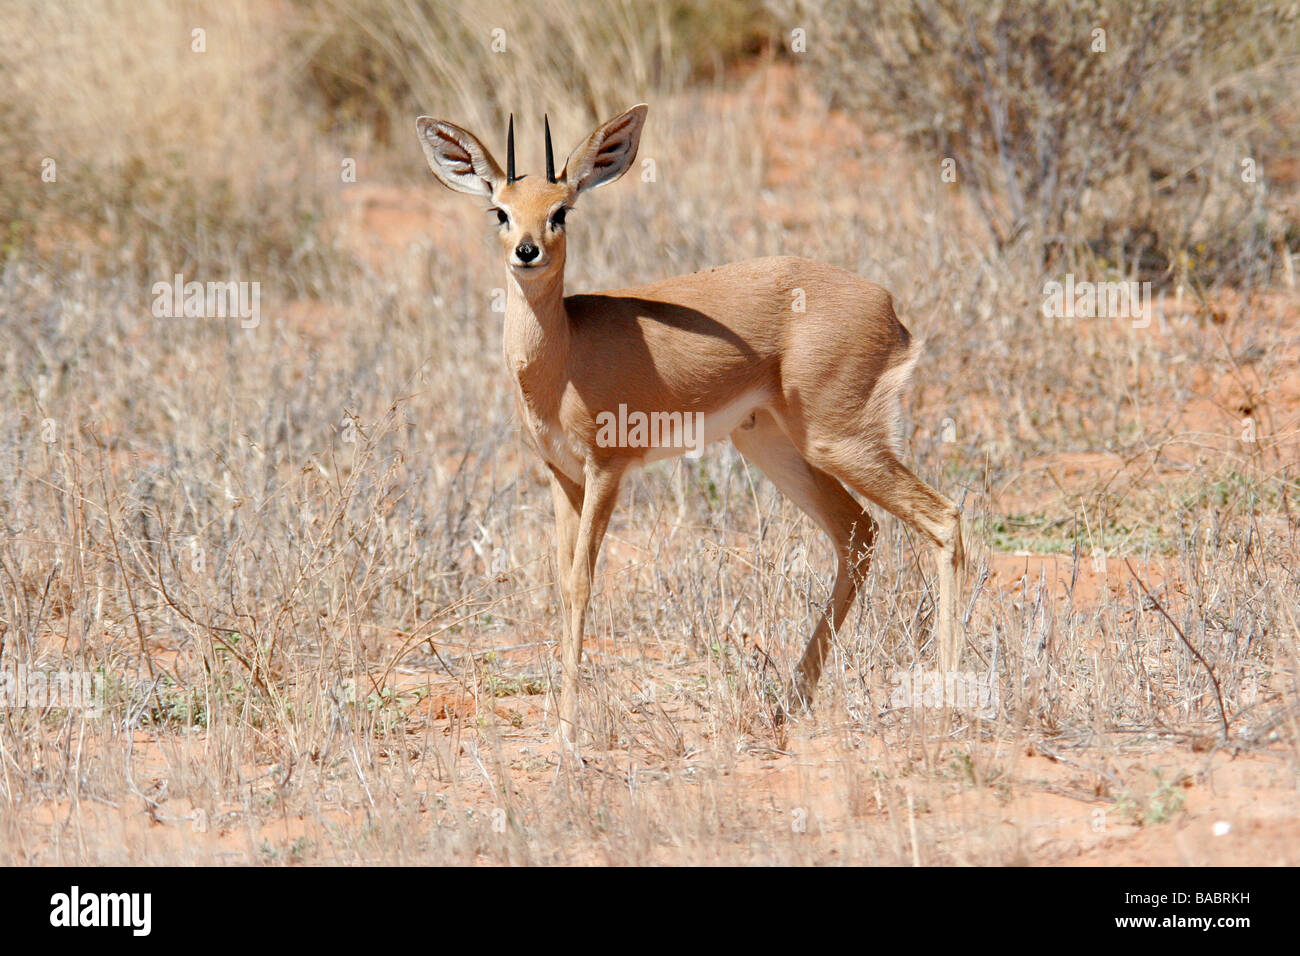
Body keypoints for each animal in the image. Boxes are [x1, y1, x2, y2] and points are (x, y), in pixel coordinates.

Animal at [415, 105, 964, 743]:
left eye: (561, 210)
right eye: (499, 210)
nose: (526, 251)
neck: (564, 353)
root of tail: (887, 306)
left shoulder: (608, 470)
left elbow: (582, 581)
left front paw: (569, 731)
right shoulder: (562, 475)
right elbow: (562, 583)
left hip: (841, 440)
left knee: (943, 517)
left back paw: (948, 700)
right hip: (775, 445)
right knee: (858, 532)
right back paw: (787, 704)